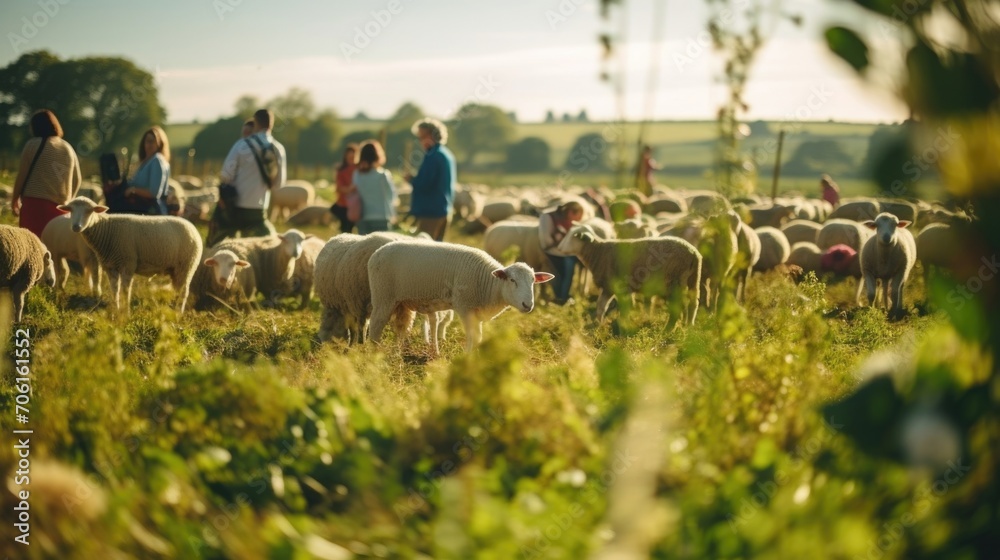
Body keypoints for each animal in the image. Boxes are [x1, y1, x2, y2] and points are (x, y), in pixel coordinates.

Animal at [58, 197, 202, 314]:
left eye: (89, 211)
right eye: (70, 210)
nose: (76, 227)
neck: (106, 230)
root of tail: (192, 227)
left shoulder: (127, 264)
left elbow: (125, 291)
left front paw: (125, 313)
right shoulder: (110, 266)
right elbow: (115, 290)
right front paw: (116, 311)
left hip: (186, 266)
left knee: (184, 292)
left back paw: (178, 314)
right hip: (176, 270)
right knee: (177, 291)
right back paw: (173, 312)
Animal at [367, 241, 554, 352]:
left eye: (533, 281)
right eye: (512, 280)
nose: (527, 305)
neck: (489, 283)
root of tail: (376, 253)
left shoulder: (476, 311)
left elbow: (477, 337)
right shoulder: (464, 306)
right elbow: (472, 336)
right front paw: (467, 357)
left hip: (401, 302)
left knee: (401, 327)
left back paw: (397, 353)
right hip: (383, 296)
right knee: (375, 326)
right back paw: (375, 354)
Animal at [556, 224, 701, 328]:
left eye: (573, 236)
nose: (558, 248)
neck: (598, 252)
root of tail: (693, 252)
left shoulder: (618, 286)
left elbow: (624, 307)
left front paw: (622, 324)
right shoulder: (609, 288)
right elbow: (601, 306)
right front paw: (599, 324)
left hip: (674, 282)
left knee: (678, 308)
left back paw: (668, 329)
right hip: (693, 279)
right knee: (693, 304)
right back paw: (688, 327)